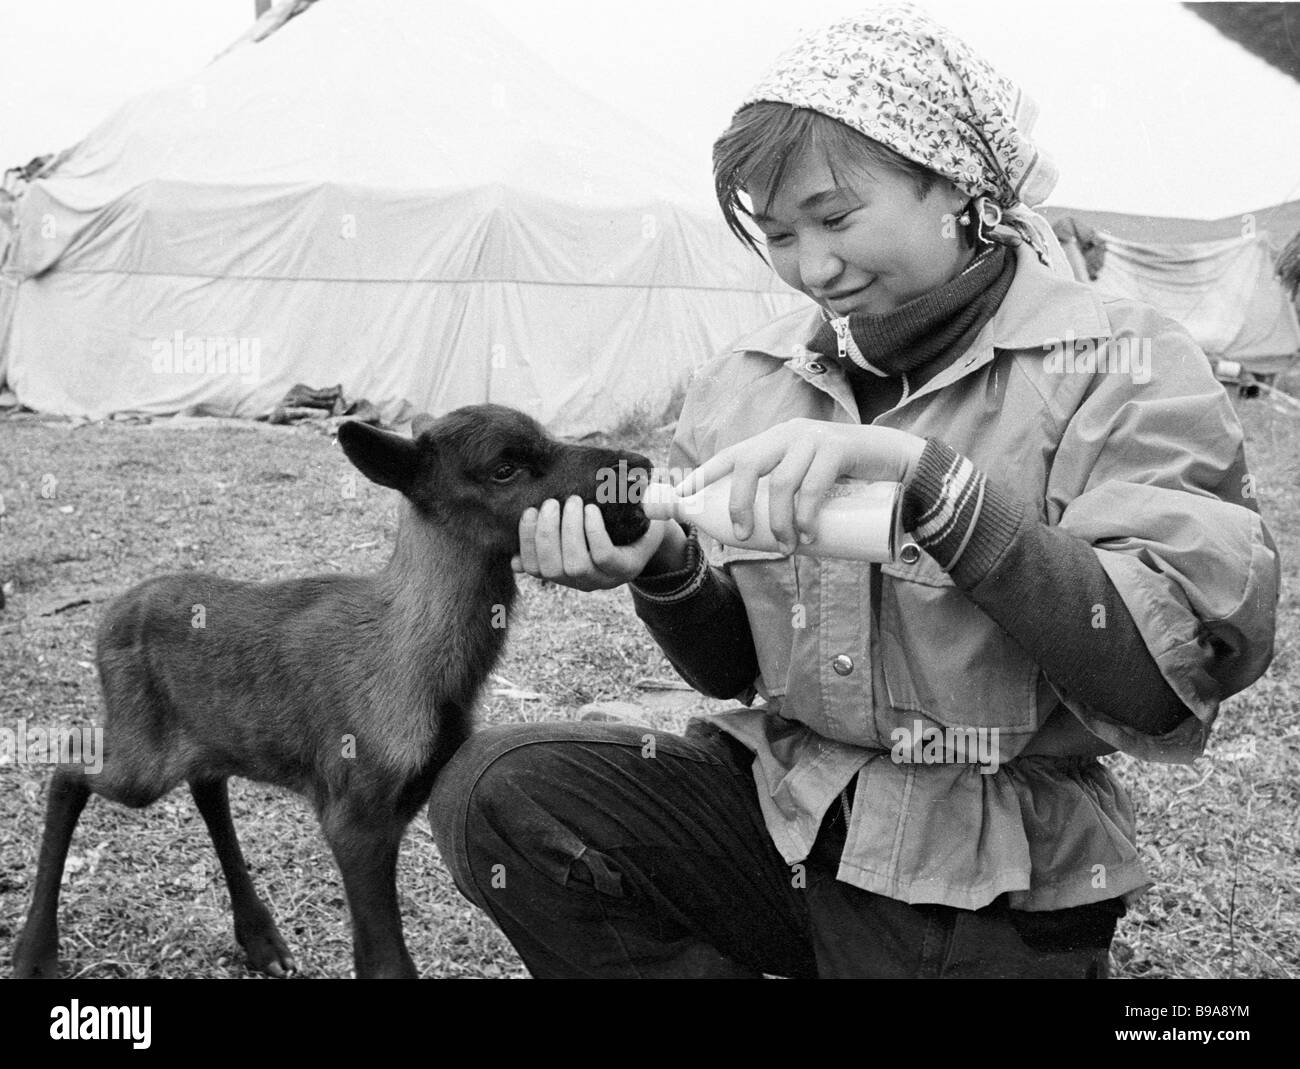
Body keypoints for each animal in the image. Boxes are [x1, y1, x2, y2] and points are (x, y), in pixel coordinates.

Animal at [11, 404, 651, 979]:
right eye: (504, 467)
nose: (641, 468)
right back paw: (33, 954)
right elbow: (387, 965)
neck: (421, 673)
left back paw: (262, 940)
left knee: (205, 784)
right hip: (141, 759)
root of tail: (105, 622)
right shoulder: (354, 812)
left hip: (204, 738)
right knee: (69, 767)